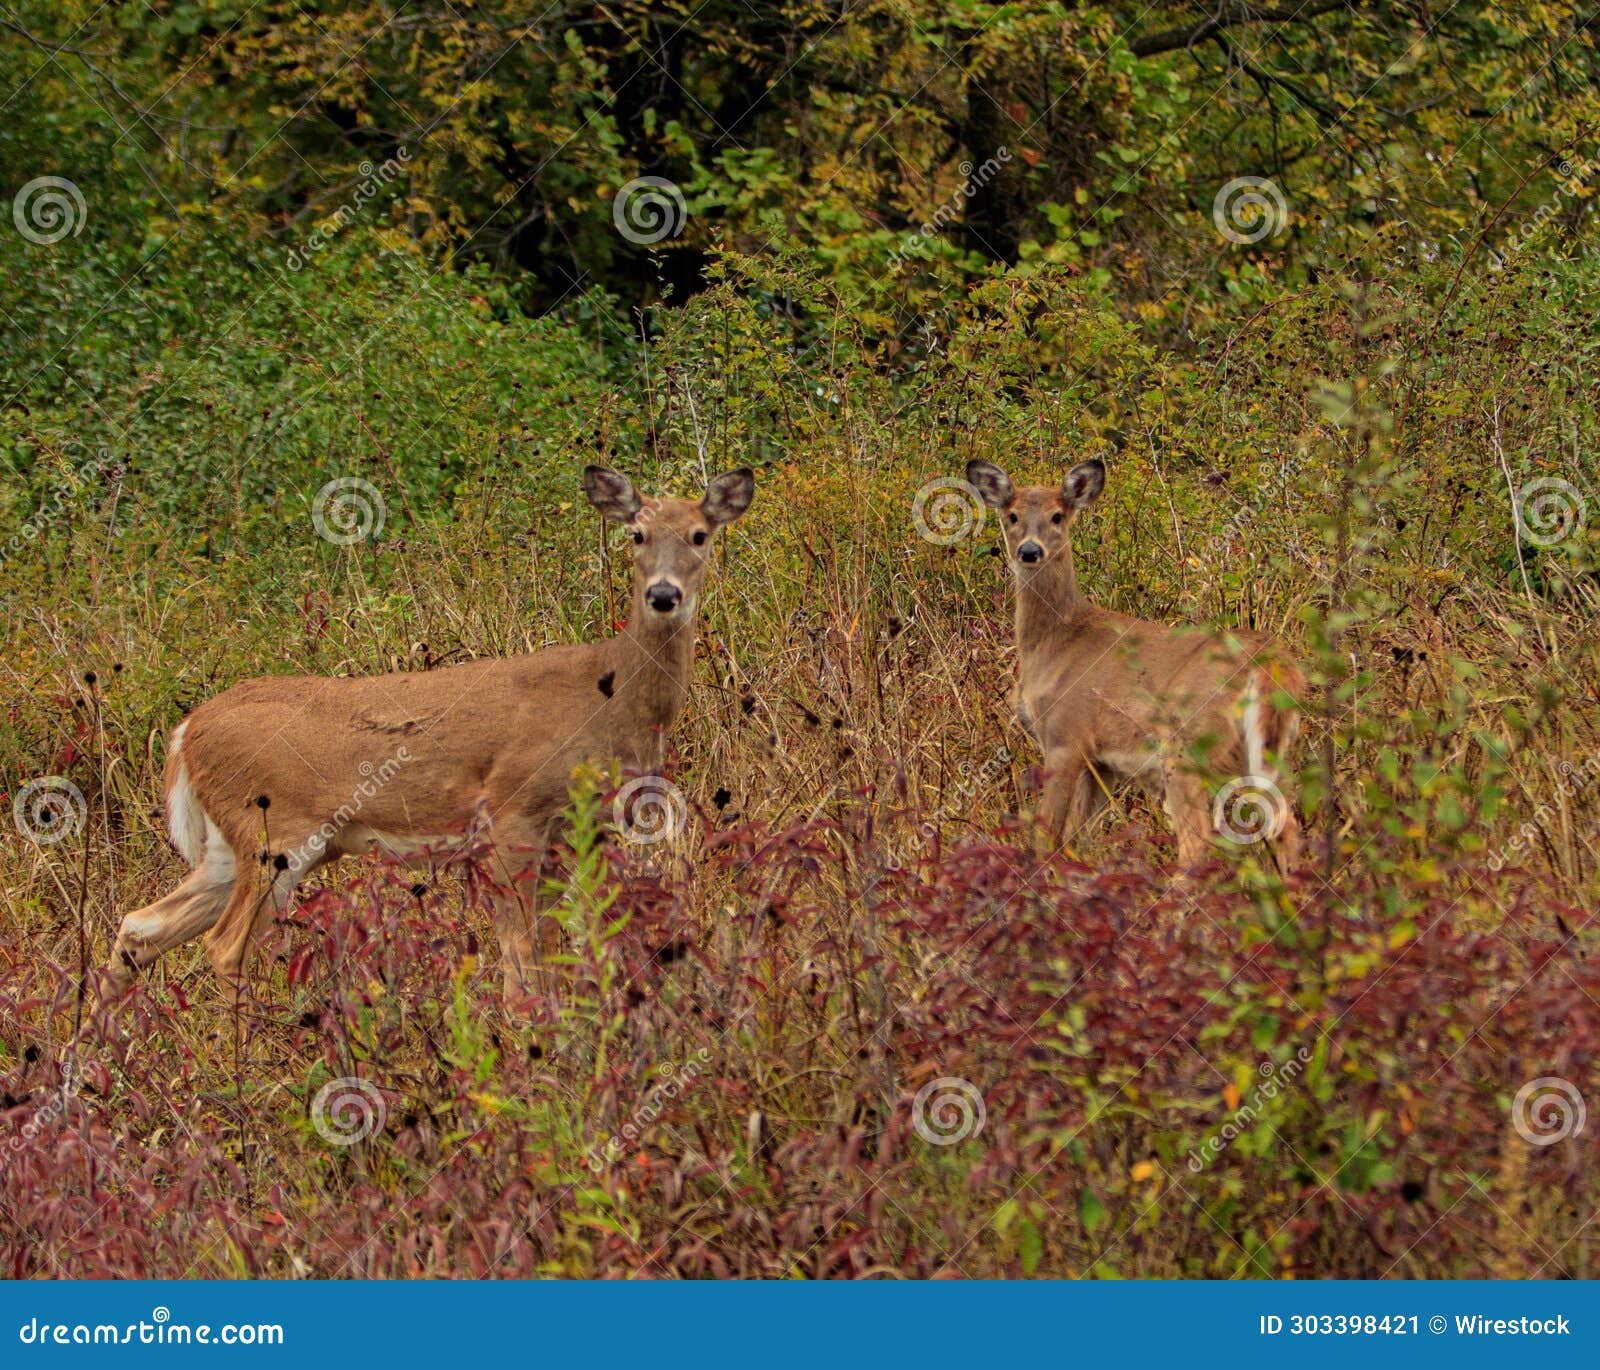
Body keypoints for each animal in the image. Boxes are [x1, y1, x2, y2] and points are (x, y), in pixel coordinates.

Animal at [104, 464, 755, 1003]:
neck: (611, 694)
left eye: (700, 535)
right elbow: (522, 954)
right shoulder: (510, 812)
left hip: (227, 844)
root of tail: (186, 731)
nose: (664, 594)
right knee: (224, 947)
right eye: (636, 535)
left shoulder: (576, 830)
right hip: (274, 831)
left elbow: (553, 944)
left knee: (140, 926)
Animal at [965, 457, 1305, 869]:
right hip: (1270, 750)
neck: (1053, 643)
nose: (1030, 551)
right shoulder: (1102, 764)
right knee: (1286, 829)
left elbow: (1047, 838)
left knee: (1197, 845)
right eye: (1012, 515)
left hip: (1187, 747)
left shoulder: (1066, 738)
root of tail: (1270, 664)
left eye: (1058, 515)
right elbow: (1079, 840)